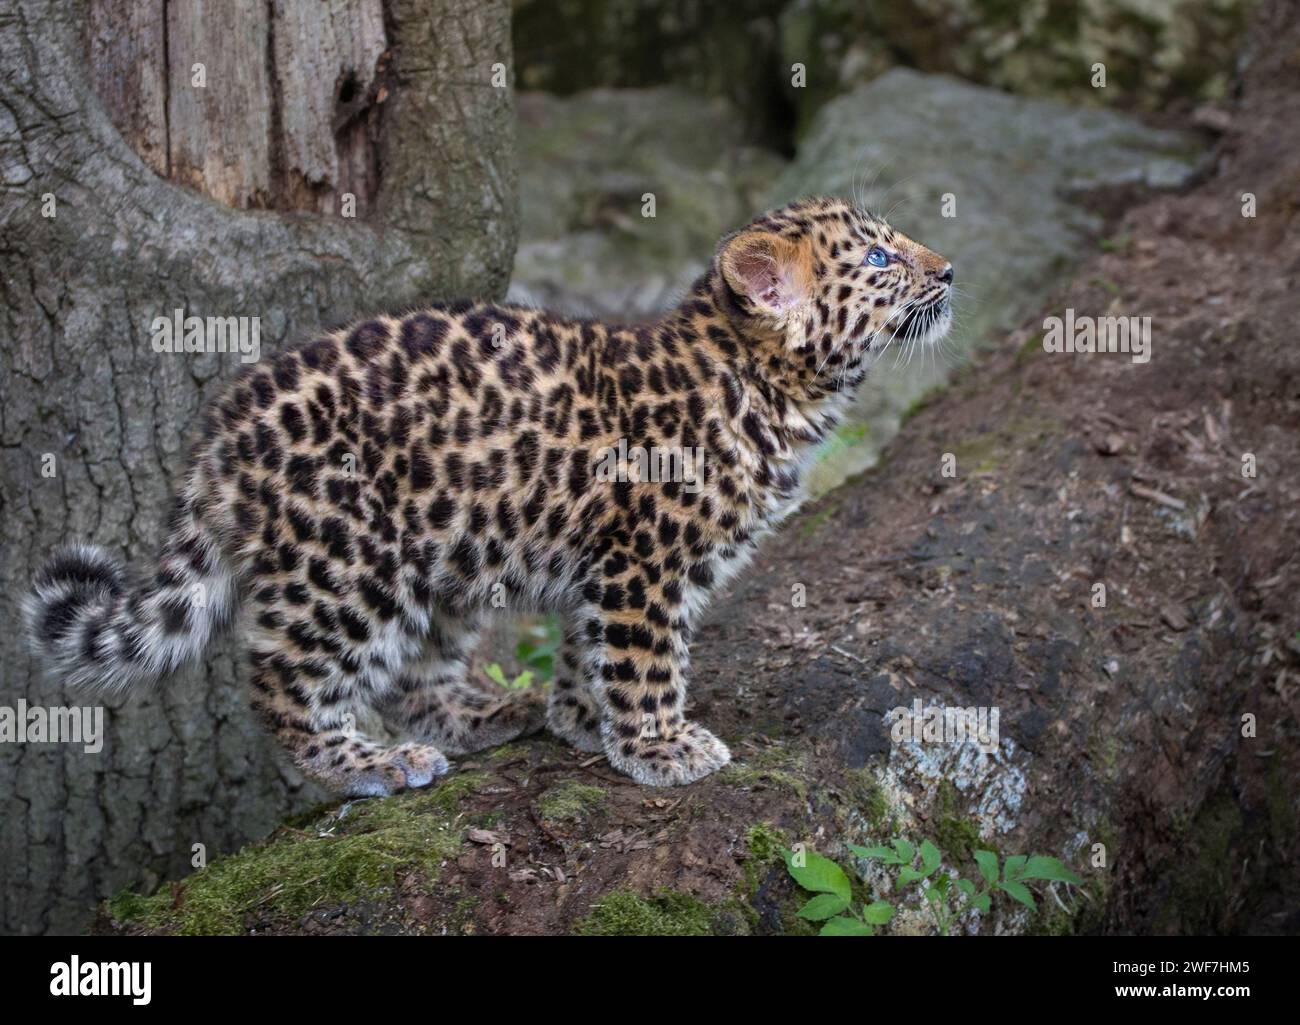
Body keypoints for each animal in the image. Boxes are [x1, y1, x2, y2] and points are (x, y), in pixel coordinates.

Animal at [25, 196, 953, 795]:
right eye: (879, 258)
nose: (950, 269)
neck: (766, 386)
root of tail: (223, 428)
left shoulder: (606, 565)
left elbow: (588, 646)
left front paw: (579, 716)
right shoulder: (645, 564)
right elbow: (645, 659)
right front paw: (660, 744)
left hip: (443, 547)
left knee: (417, 675)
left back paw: (491, 711)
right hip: (345, 564)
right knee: (288, 685)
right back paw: (369, 763)